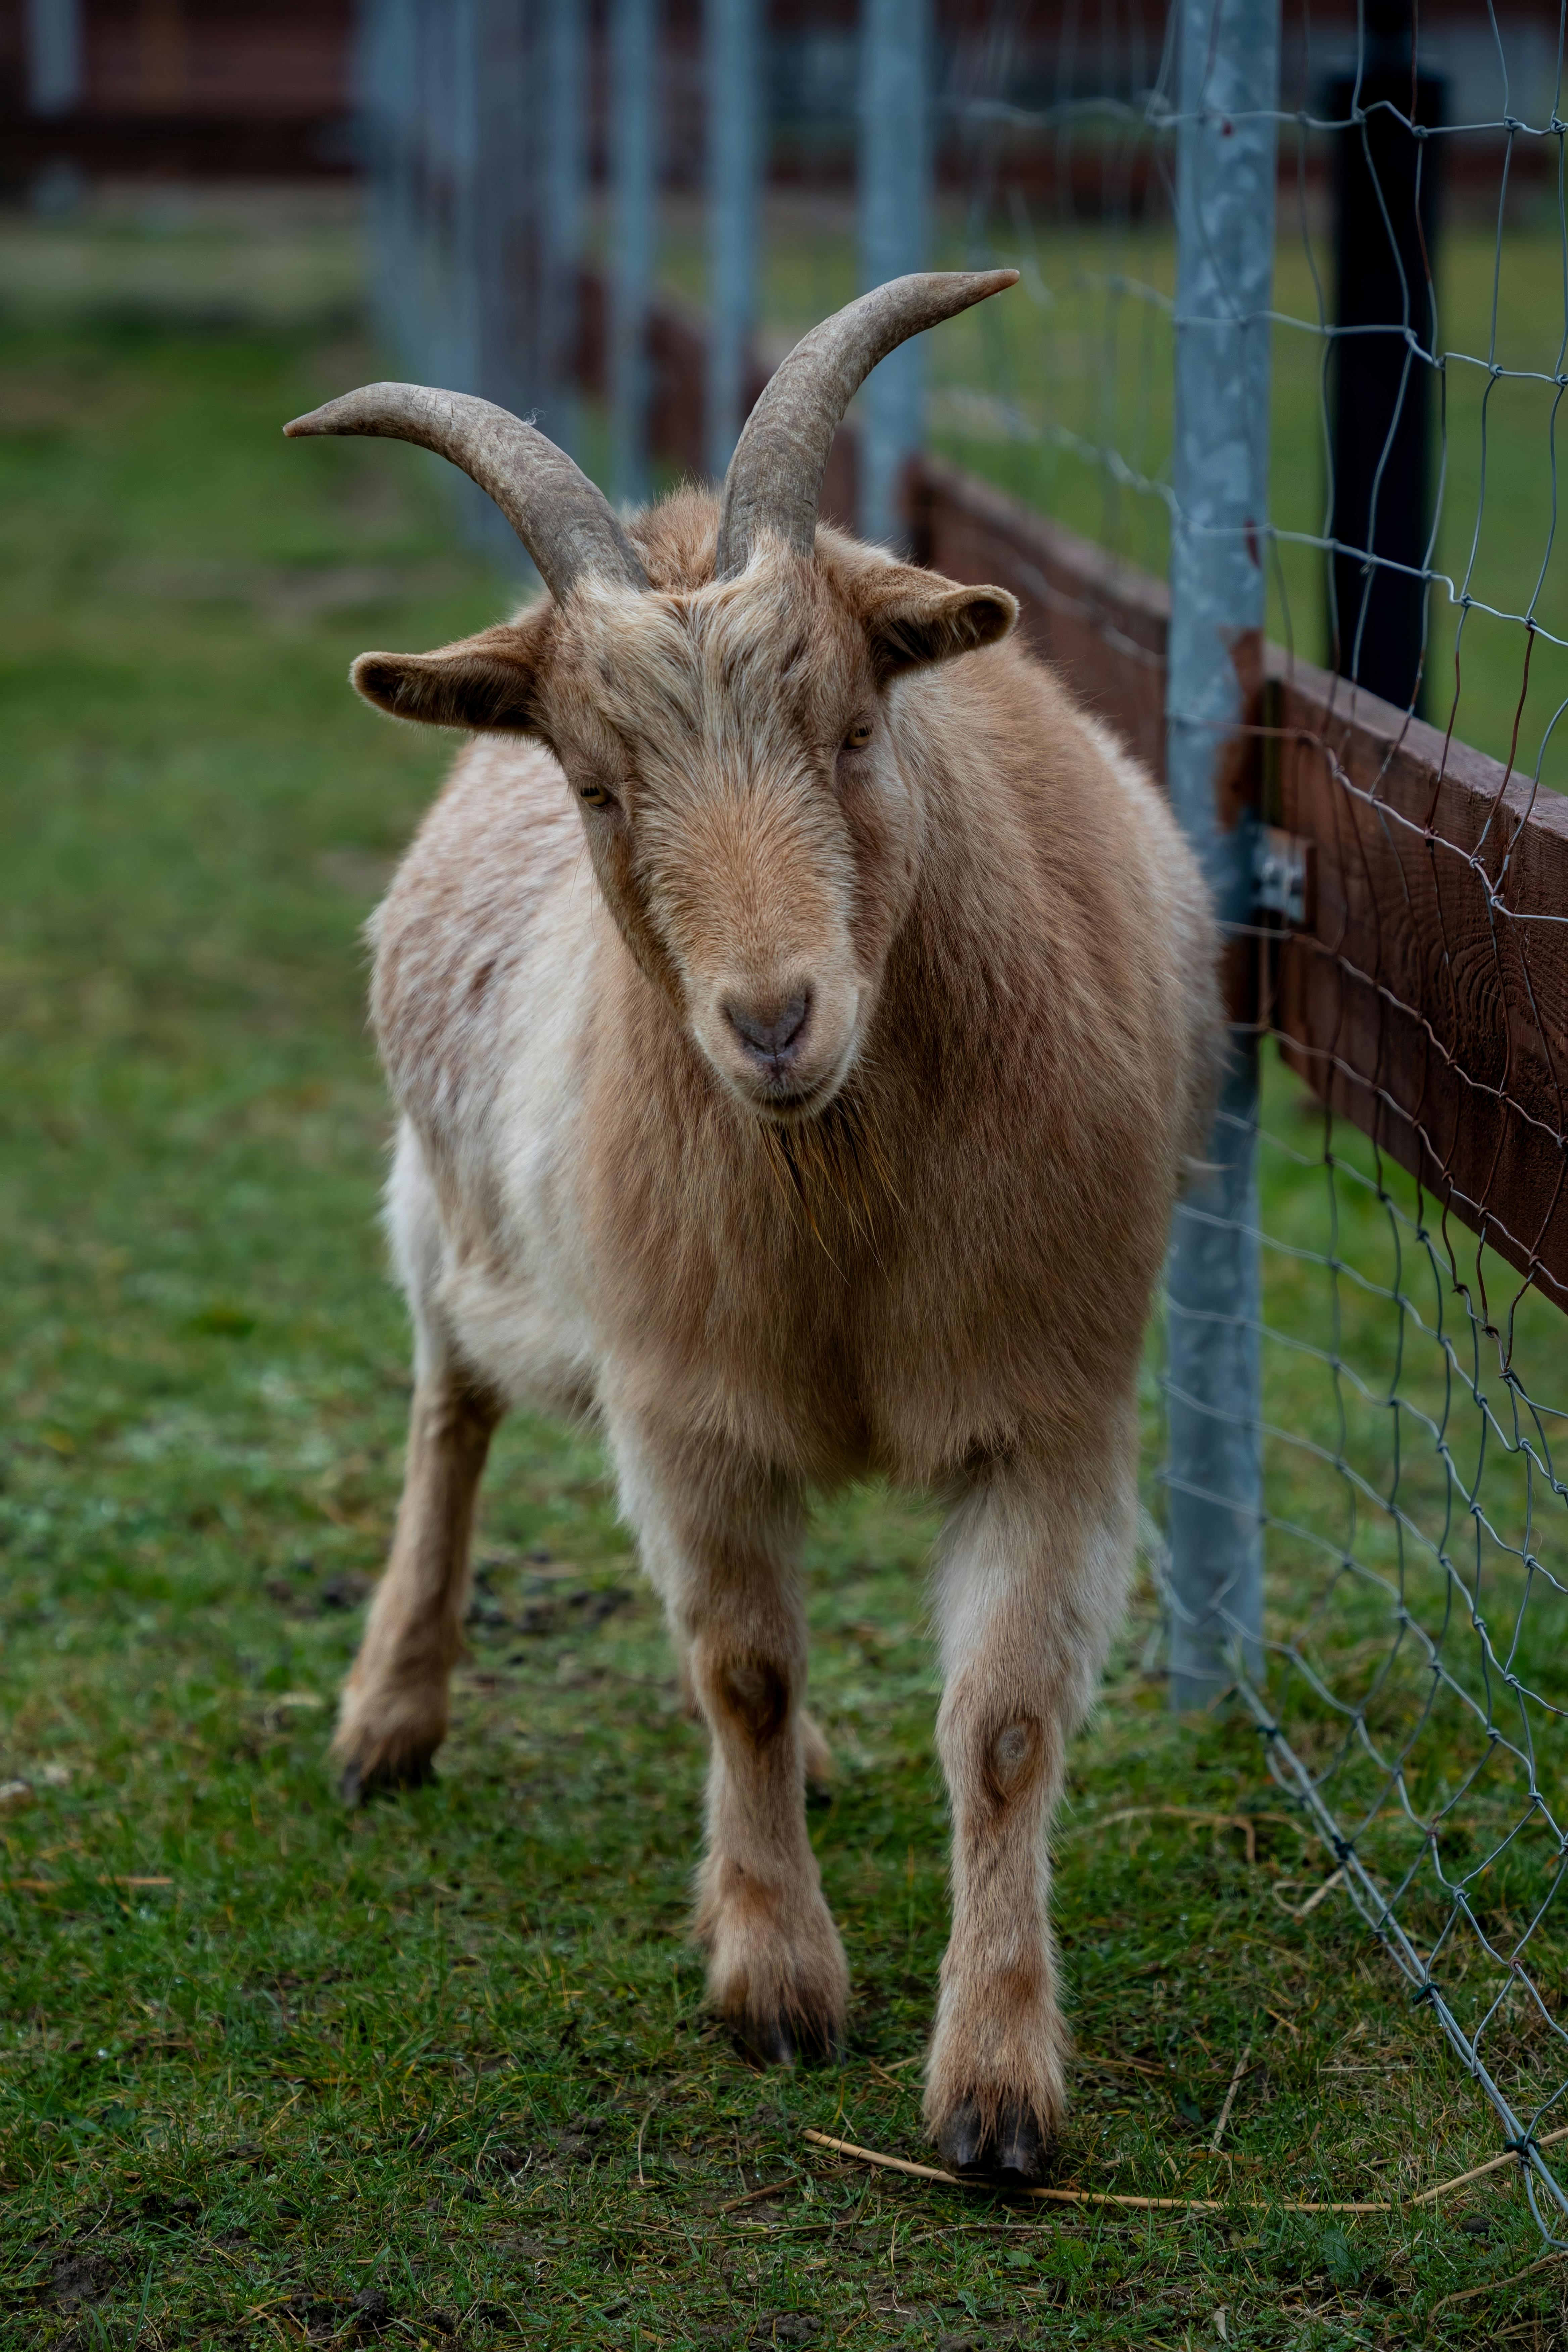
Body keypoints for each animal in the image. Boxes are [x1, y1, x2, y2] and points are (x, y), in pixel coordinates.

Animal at [284, 271, 1220, 2184]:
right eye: (591, 784)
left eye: (856, 728)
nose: (772, 1021)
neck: (836, 1186)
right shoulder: (684, 1399)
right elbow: (741, 1674)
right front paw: (776, 1980)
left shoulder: (1051, 1407)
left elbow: (1001, 1727)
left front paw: (994, 2091)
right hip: (444, 1213)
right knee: (448, 1412)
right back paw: (388, 1717)